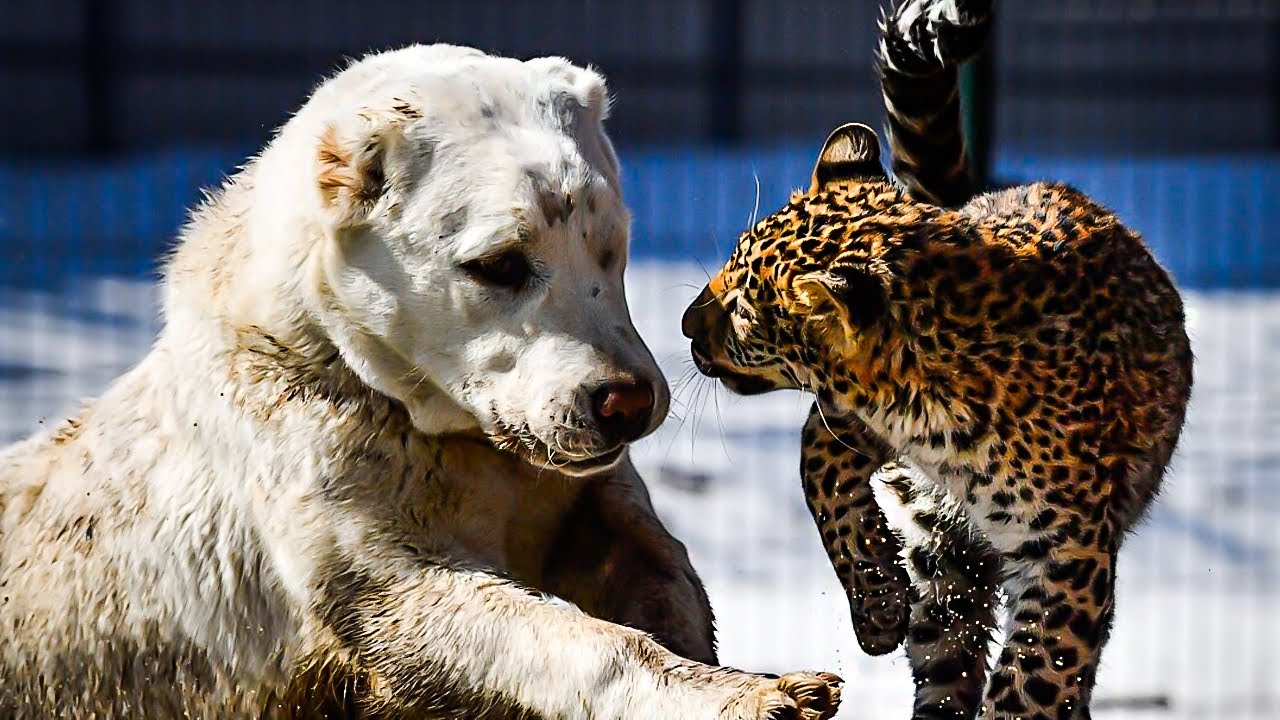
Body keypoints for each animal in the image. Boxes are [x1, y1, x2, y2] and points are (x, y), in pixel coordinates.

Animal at [679, 6, 1193, 716]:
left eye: (744, 310)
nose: (684, 325)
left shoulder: (1067, 551)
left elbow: (1036, 678)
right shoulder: (850, 420)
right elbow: (820, 476)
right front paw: (876, 605)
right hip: (948, 569)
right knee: (947, 659)